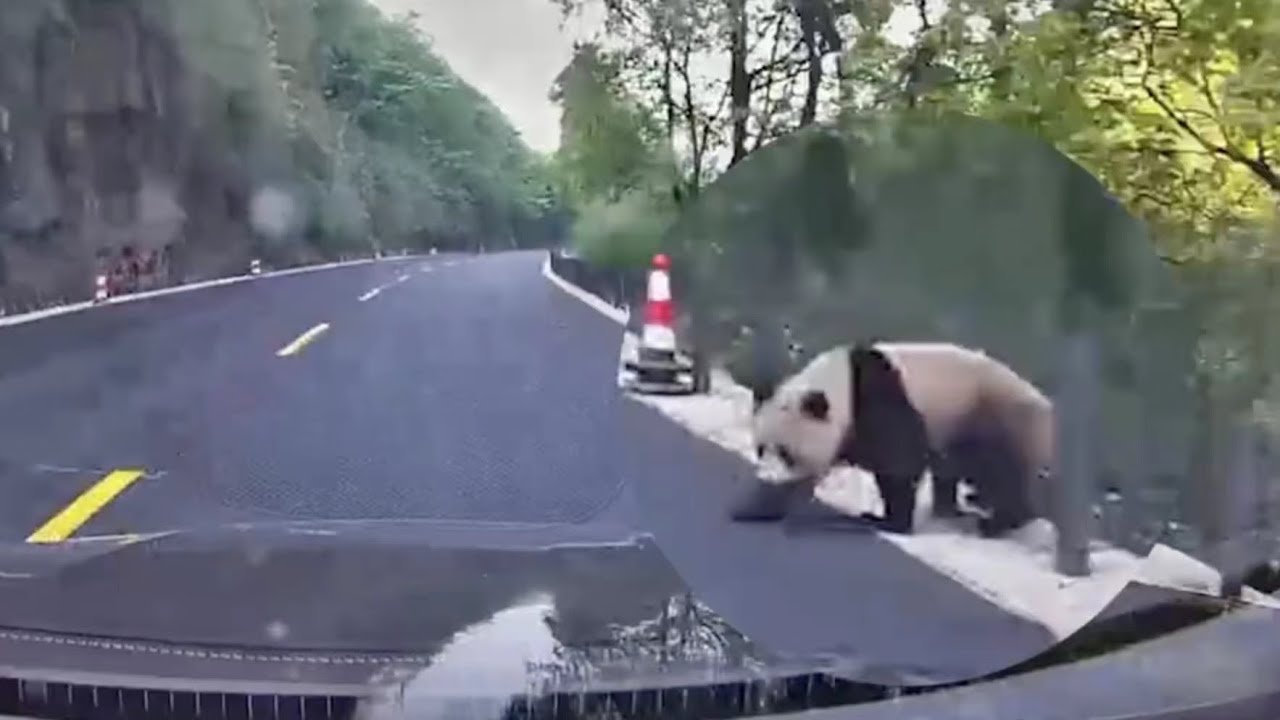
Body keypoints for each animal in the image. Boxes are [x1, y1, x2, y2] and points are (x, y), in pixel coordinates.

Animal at [731, 341, 1055, 538]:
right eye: (761, 449)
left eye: (787, 452)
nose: (766, 478)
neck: (843, 384)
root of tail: (1045, 407)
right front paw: (754, 509)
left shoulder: (881, 402)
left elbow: (900, 464)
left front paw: (887, 521)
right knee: (956, 472)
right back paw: (953, 507)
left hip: (995, 419)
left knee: (1001, 474)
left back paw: (996, 521)